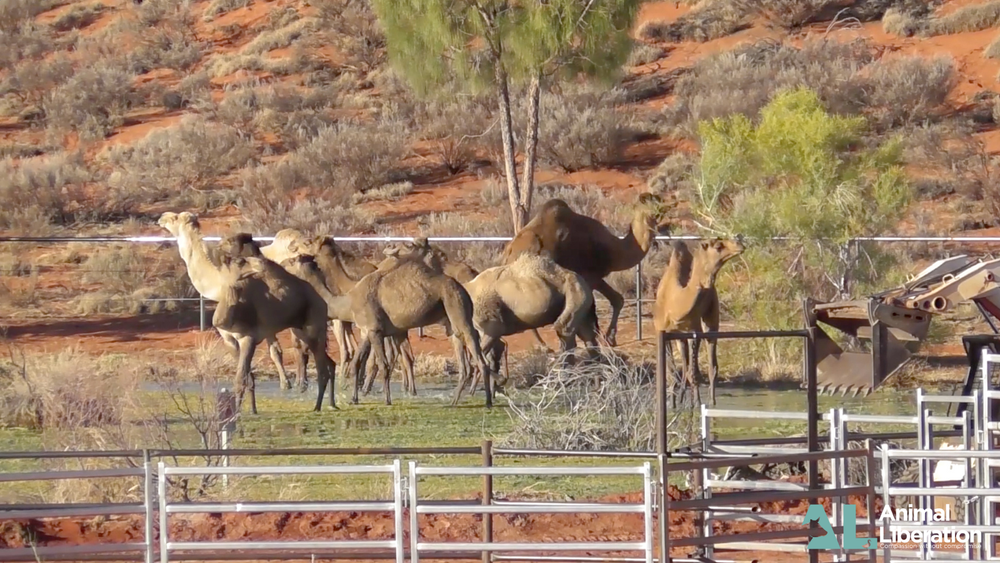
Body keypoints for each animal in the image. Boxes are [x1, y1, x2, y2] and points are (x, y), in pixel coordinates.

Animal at [158, 213, 338, 413]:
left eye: (175, 218)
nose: (162, 218)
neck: (218, 285)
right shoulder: (230, 339)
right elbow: (251, 372)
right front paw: (252, 408)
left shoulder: (253, 333)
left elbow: (260, 363)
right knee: (324, 357)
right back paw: (330, 401)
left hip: (314, 323)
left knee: (319, 357)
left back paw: (315, 398)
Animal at [501, 193, 669, 347]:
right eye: (657, 208)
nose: (666, 228)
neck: (612, 249)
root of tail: (507, 255)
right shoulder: (589, 276)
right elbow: (593, 318)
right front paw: (604, 340)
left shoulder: (595, 277)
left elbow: (617, 299)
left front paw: (610, 339)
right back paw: (544, 346)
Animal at [652, 237, 745, 407]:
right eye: (718, 246)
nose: (739, 243)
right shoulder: (661, 330)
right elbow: (673, 370)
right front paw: (674, 402)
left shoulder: (694, 330)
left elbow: (693, 371)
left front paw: (695, 403)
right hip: (680, 336)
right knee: (684, 366)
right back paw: (678, 398)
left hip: (710, 320)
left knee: (708, 365)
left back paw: (708, 400)